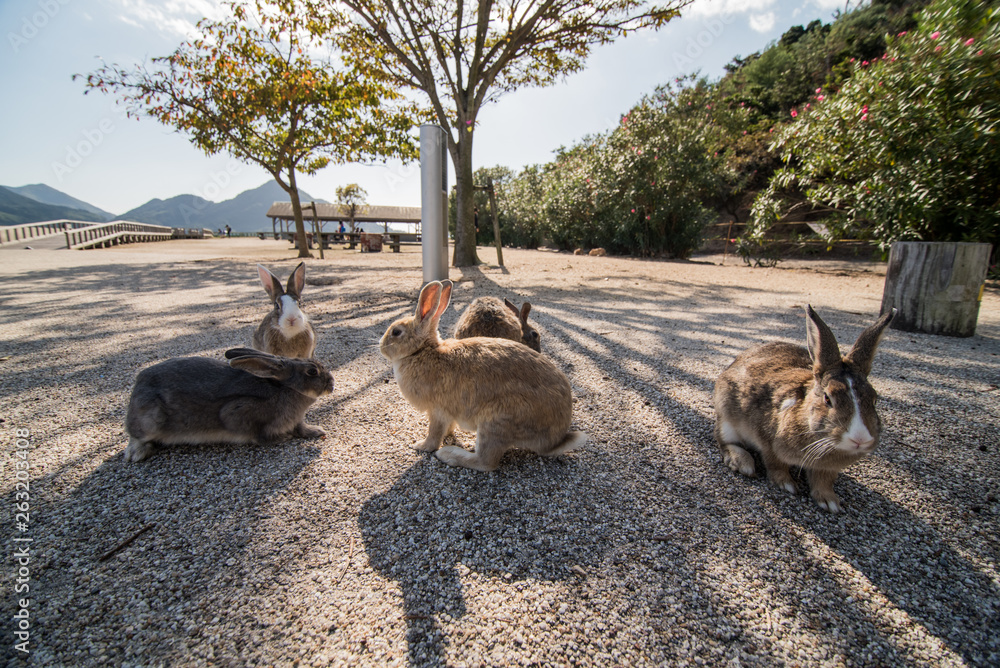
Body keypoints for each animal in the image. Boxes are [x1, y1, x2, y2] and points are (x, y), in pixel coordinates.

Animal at [123, 347, 333, 462]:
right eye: (312, 371)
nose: (331, 384)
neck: (284, 387)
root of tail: (138, 384)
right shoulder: (239, 412)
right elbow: (259, 435)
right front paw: (283, 438)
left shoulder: (297, 420)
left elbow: (301, 427)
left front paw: (316, 431)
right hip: (150, 420)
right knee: (136, 436)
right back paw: (138, 453)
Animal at [379, 280, 587, 472]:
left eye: (396, 332)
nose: (381, 347)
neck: (422, 351)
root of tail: (555, 440)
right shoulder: (447, 413)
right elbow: (447, 428)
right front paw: (447, 436)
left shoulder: (437, 410)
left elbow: (434, 434)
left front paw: (421, 446)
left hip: (496, 421)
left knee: (486, 462)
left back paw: (448, 454)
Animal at [713, 305, 895, 512]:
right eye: (827, 398)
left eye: (874, 400)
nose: (860, 439)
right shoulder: (768, 441)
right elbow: (775, 464)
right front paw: (786, 484)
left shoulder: (828, 468)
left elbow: (824, 481)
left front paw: (830, 502)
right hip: (727, 417)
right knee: (726, 441)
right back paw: (742, 462)